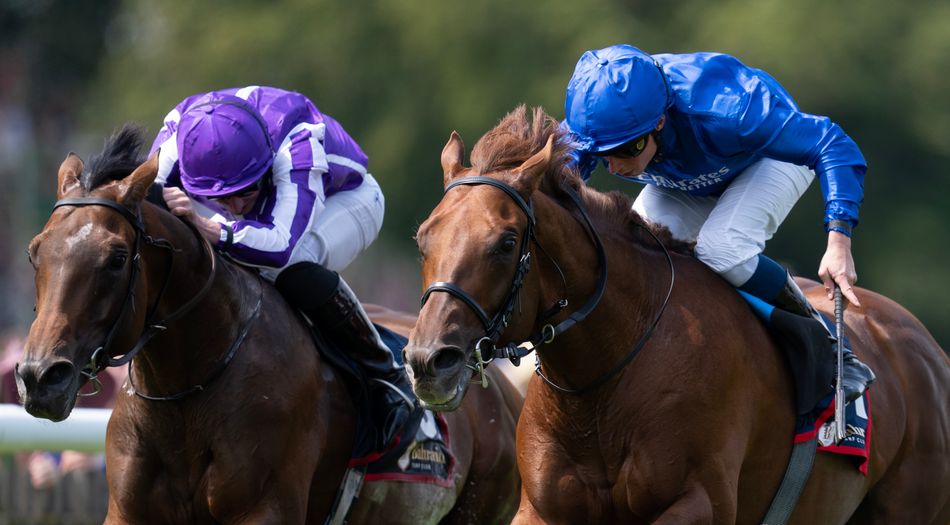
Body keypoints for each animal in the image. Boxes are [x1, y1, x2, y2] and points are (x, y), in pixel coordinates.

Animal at [14, 126, 523, 524]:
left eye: (117, 258)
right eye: (34, 252)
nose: (40, 377)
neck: (187, 391)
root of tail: (501, 387)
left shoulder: (264, 509)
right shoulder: (127, 512)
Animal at [404, 106, 950, 524]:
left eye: (505, 242)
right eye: (422, 236)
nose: (429, 360)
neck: (605, 384)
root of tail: (925, 348)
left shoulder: (698, 502)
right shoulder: (541, 509)